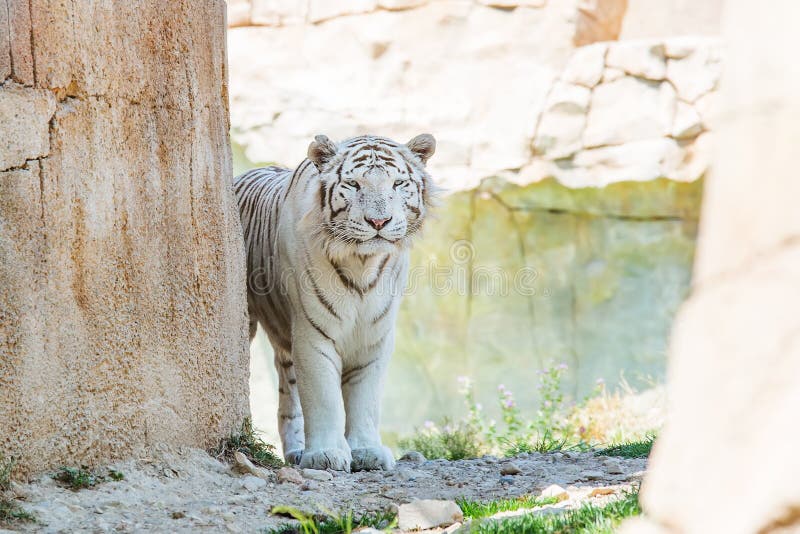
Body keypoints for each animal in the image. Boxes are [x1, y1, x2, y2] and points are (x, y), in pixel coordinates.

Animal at [234, 133, 436, 472]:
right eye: (354, 184)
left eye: (397, 184)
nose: (379, 221)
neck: (362, 263)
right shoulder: (313, 332)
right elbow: (324, 397)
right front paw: (326, 455)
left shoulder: (375, 336)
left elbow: (365, 398)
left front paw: (366, 451)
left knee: (288, 393)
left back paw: (297, 450)